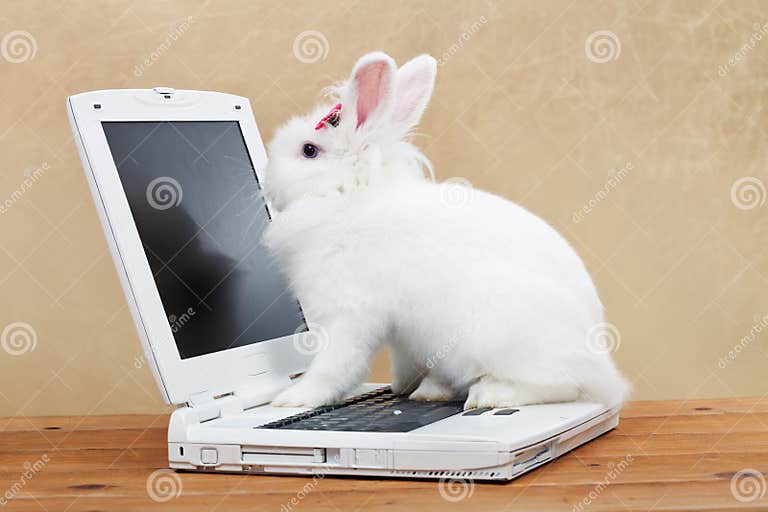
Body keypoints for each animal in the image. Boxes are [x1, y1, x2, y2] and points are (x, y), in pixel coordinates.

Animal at [262, 51, 631, 410]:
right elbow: (402, 362)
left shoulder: (347, 313)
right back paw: (432, 390)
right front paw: (401, 387)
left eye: (309, 150)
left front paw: (294, 399)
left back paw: (489, 395)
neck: (347, 196)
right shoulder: (401, 334)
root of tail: (598, 359)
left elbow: (334, 365)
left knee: (562, 385)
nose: (267, 179)